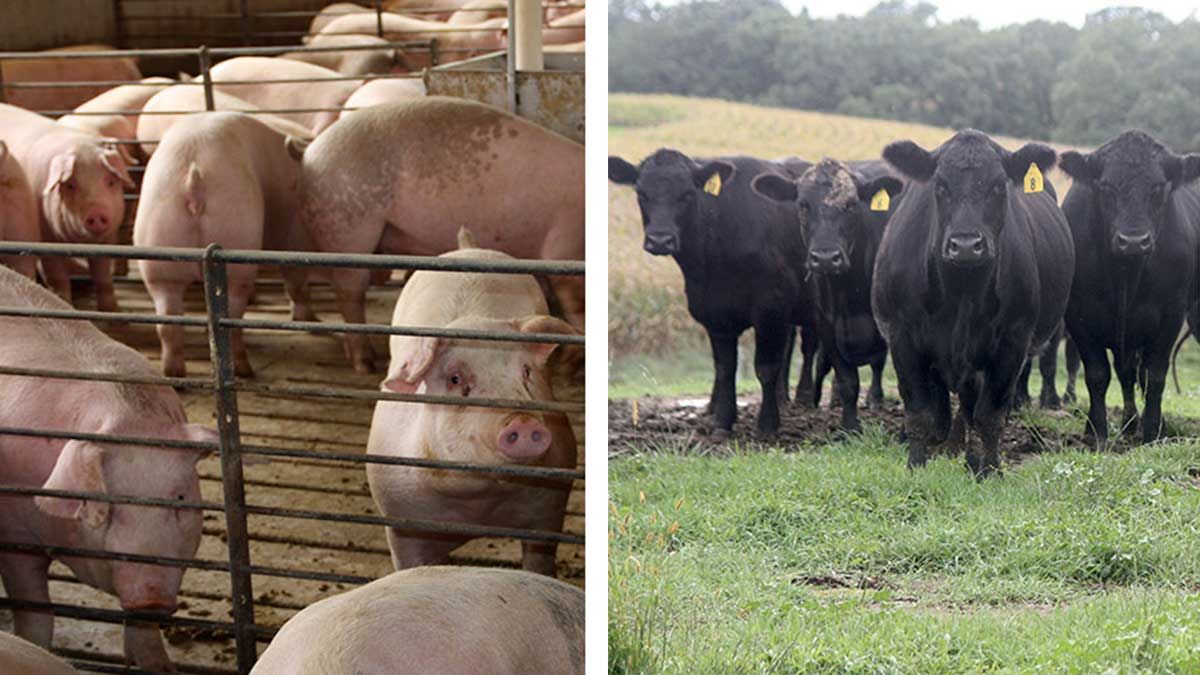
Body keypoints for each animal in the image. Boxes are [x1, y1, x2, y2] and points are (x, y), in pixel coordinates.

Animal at [609, 149, 817, 437]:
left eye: (687, 193)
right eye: (641, 193)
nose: (660, 240)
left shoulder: (770, 308)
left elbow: (765, 368)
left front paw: (766, 426)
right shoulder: (713, 311)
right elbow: (725, 368)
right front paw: (722, 423)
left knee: (809, 347)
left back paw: (806, 397)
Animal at [751, 158, 903, 432]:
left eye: (851, 204)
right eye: (803, 204)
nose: (824, 258)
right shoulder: (826, 325)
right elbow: (847, 379)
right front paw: (849, 427)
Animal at [873, 130, 1074, 477]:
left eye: (998, 185)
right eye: (940, 185)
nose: (966, 245)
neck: (960, 293)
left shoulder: (1012, 341)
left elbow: (989, 416)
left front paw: (989, 472)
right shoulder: (902, 338)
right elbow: (919, 413)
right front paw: (916, 467)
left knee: (970, 409)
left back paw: (972, 461)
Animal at [1059, 130, 1200, 447]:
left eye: (1158, 188)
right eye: (1105, 188)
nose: (1134, 241)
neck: (1125, 272)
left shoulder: (1170, 315)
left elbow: (1154, 376)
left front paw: (1152, 434)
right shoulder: (1078, 316)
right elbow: (1098, 375)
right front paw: (1098, 434)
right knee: (1124, 373)